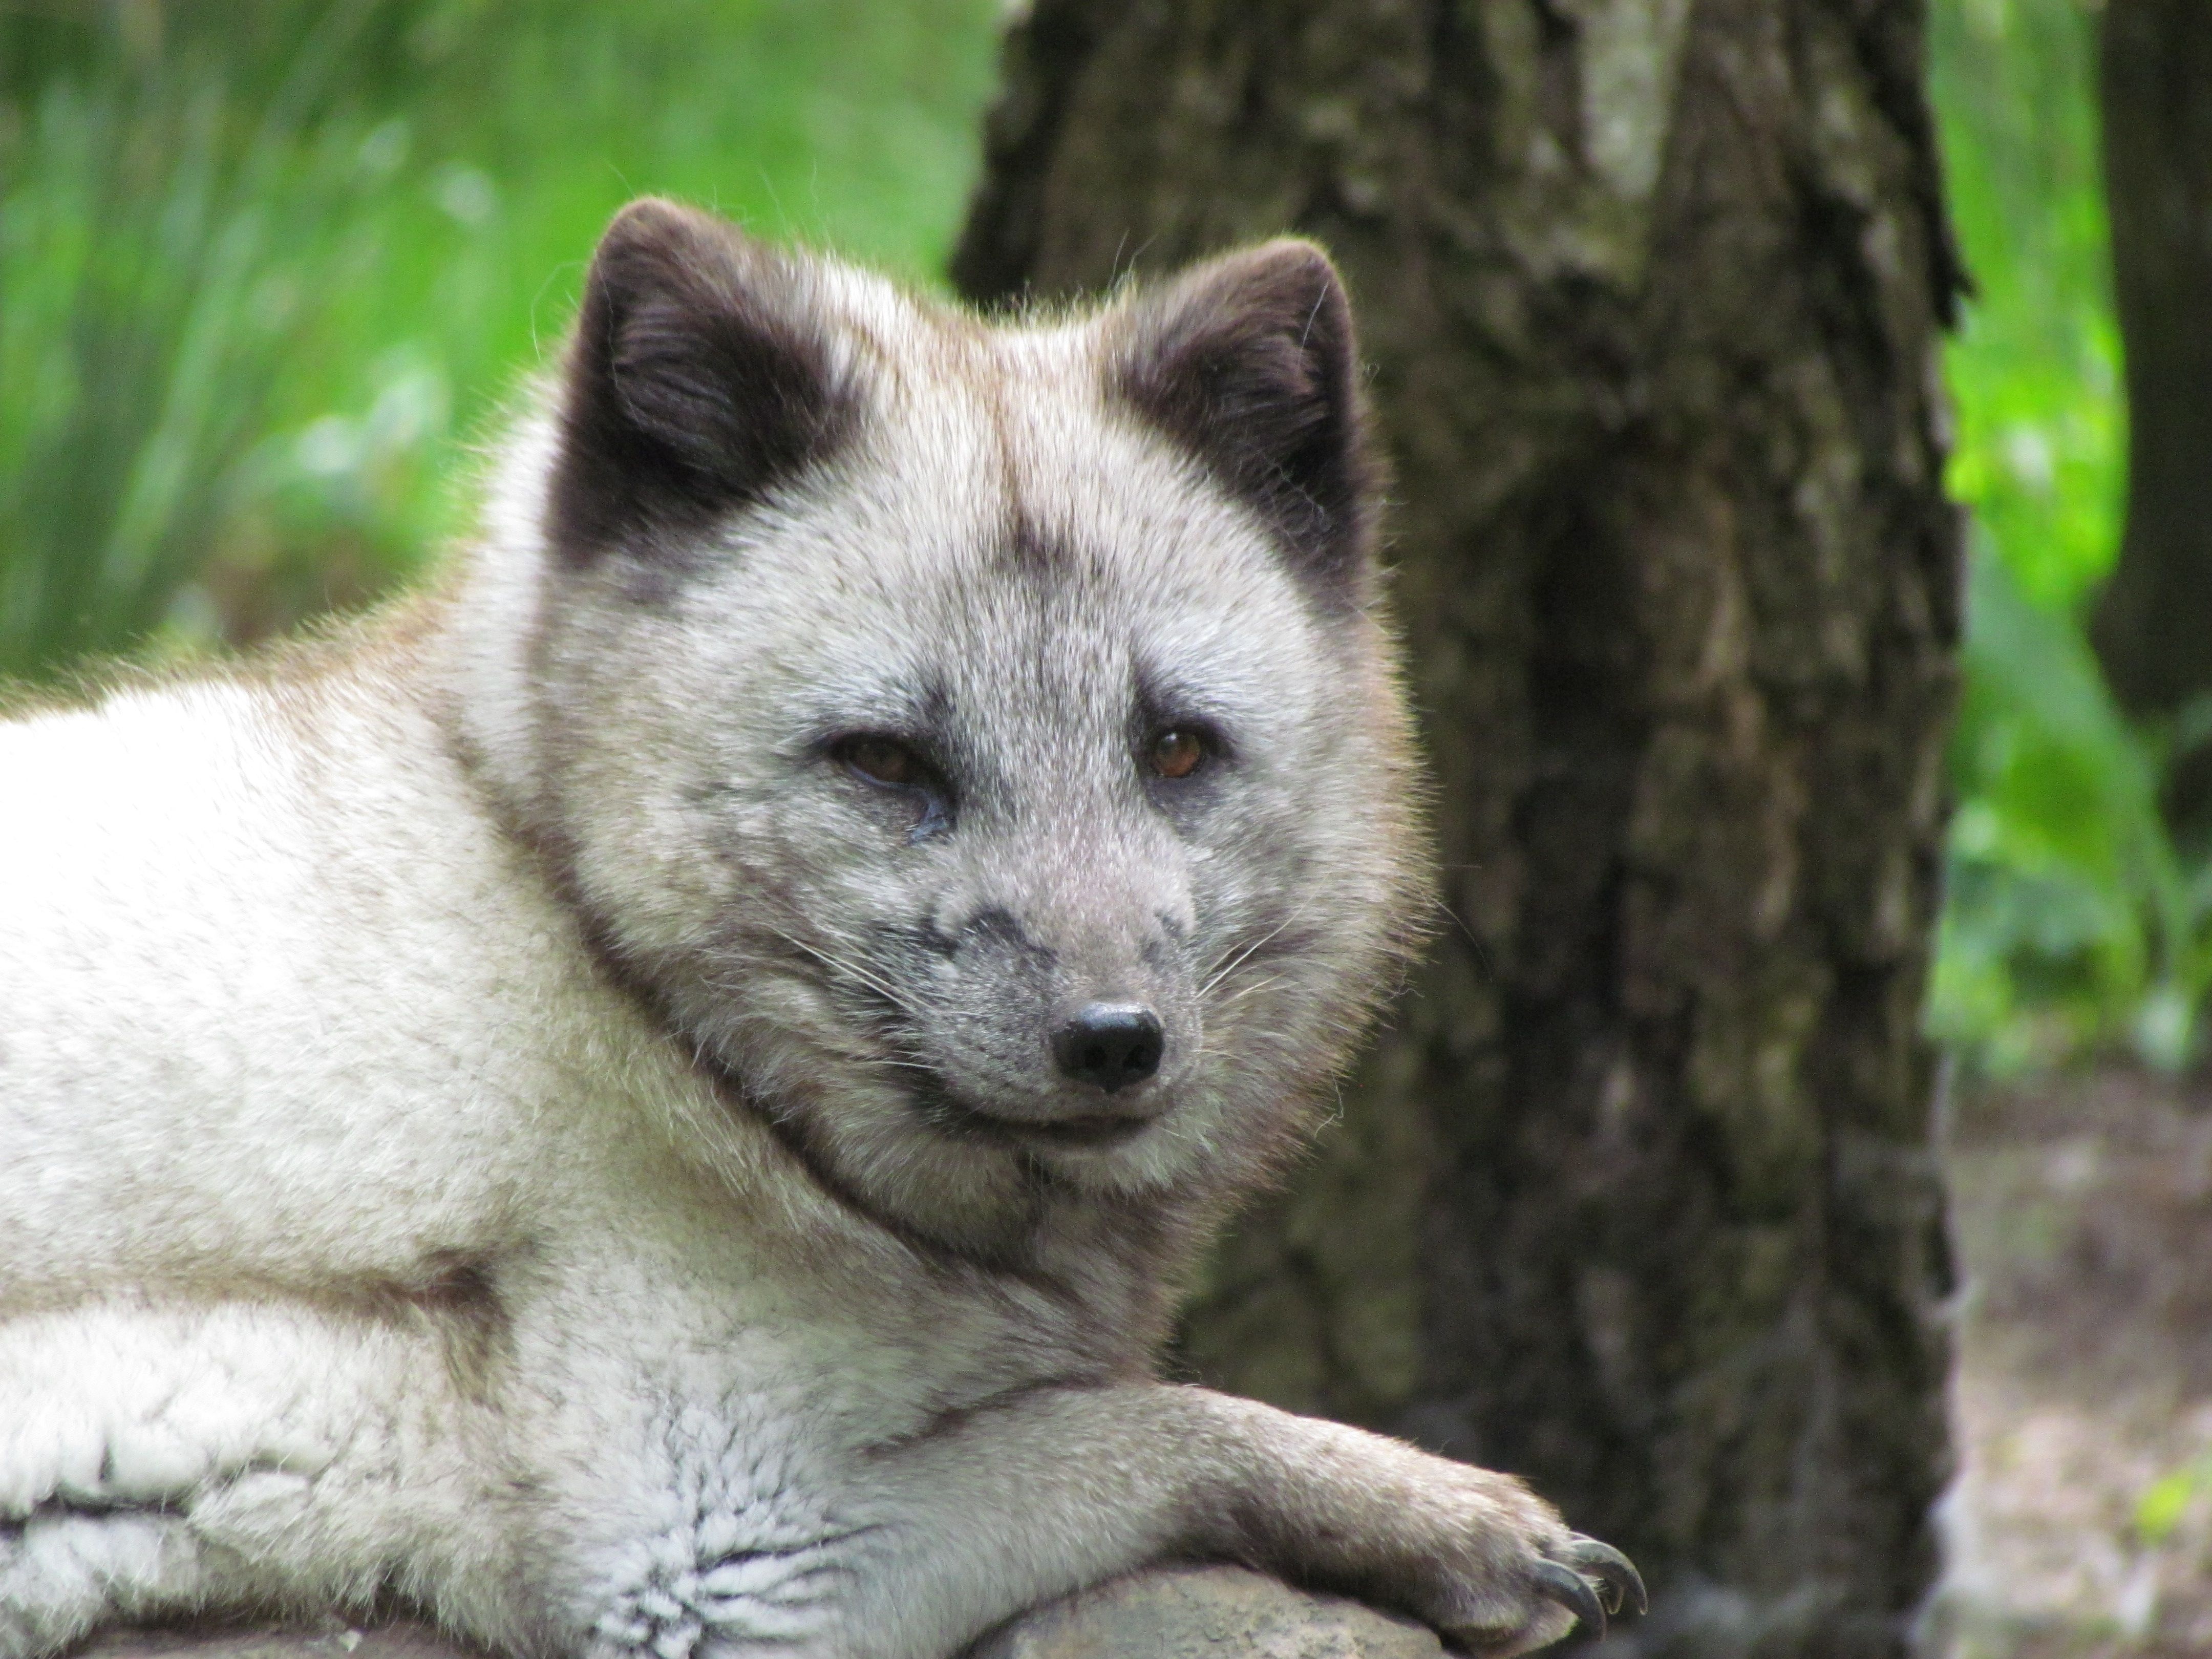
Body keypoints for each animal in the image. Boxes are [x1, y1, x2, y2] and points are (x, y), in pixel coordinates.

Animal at [0, 199, 1639, 1659]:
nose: (1115, 1042)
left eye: (1176, 748)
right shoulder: (714, 1550)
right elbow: (1144, 1423)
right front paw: (1446, 1514)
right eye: (886, 761)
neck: (605, 963)